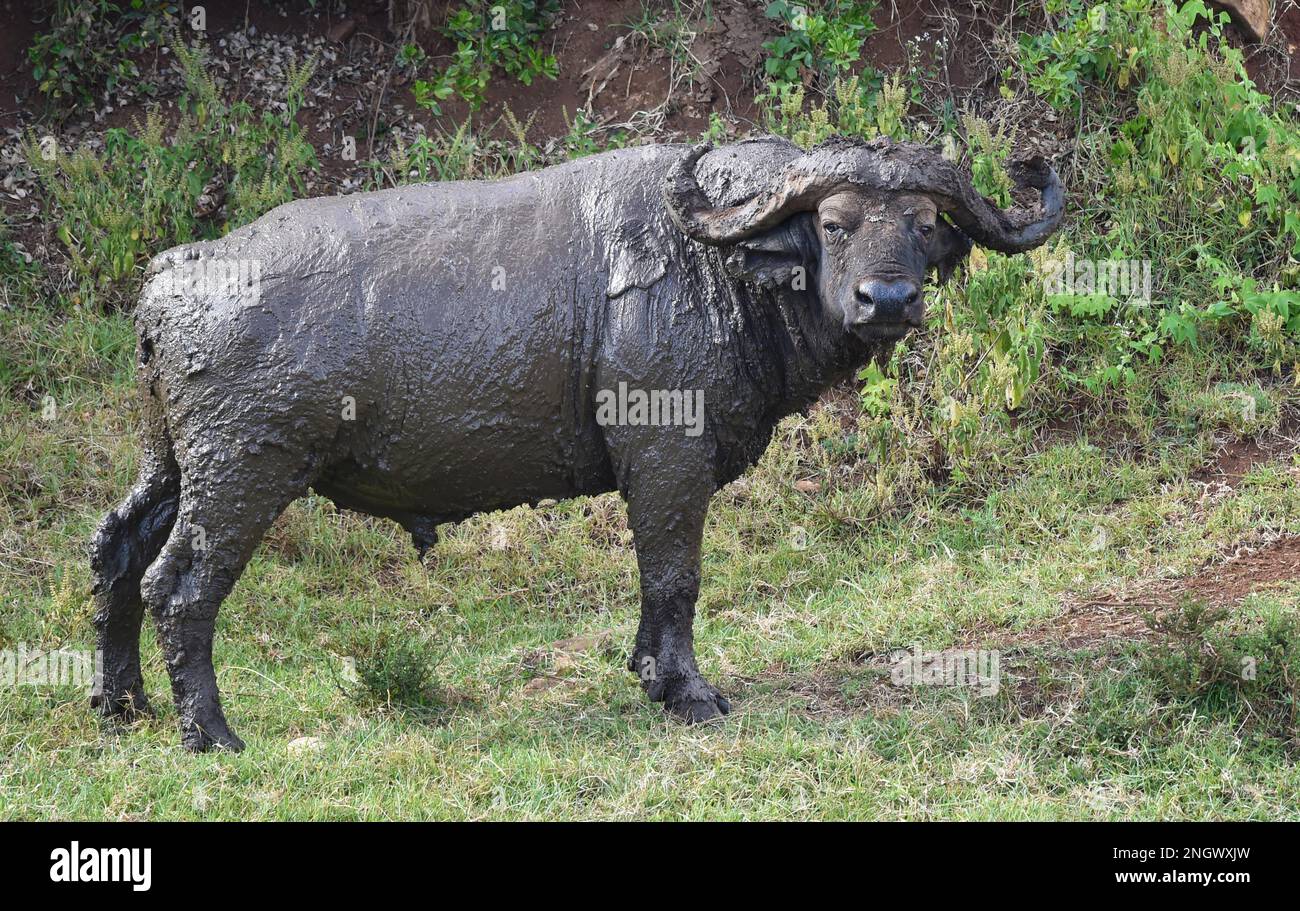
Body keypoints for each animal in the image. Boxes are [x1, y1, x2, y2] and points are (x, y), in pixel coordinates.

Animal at [90, 135, 1063, 750]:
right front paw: (689, 692)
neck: (719, 262)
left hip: (171, 465)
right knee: (178, 584)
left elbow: (656, 584)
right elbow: (674, 573)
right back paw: (211, 732)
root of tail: (174, 273)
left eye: (926, 223)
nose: (888, 299)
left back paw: (121, 704)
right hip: (242, 473)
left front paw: (648, 674)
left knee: (115, 552)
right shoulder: (668, 459)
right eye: (835, 222)